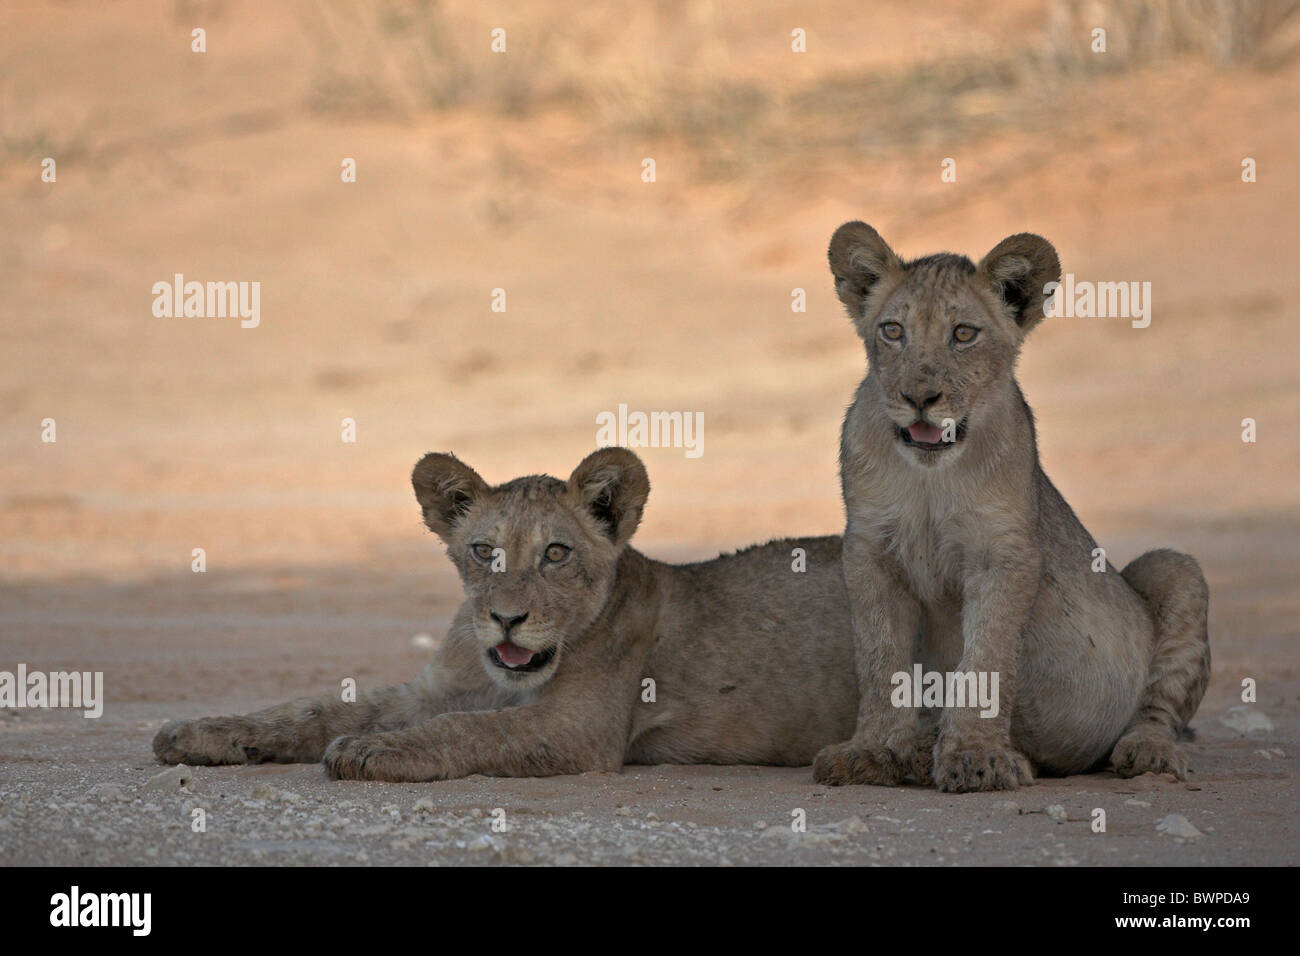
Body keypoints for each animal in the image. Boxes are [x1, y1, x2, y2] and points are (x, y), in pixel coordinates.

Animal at [153, 447, 857, 781]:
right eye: (483, 551)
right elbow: (317, 709)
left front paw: (373, 750)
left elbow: (471, 729)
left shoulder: (581, 728)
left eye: (556, 553)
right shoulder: (432, 691)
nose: (507, 619)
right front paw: (199, 733)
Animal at [812, 221, 1211, 792]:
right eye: (892, 331)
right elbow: (879, 657)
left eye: (963, 334)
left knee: (1160, 709)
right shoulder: (869, 550)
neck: (931, 478)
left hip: (1173, 569)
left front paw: (976, 758)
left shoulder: (1005, 554)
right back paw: (922, 750)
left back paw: (1148, 753)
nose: (919, 397)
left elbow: (987, 660)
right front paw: (875, 751)